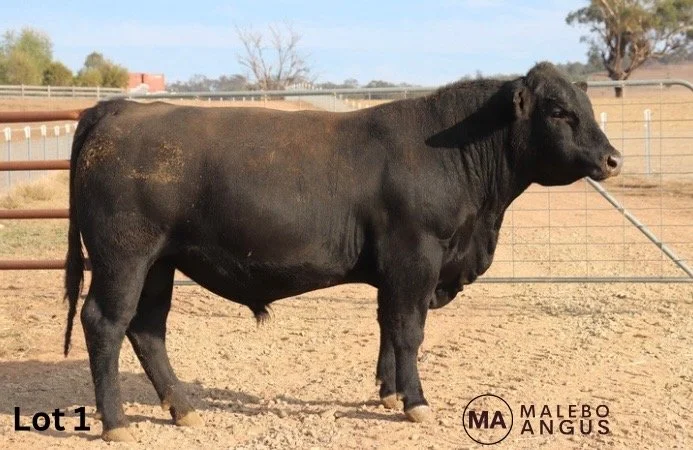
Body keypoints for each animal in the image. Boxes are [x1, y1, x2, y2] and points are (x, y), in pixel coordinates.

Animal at [63, 62, 621, 441]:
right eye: (560, 112)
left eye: (590, 110)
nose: (613, 158)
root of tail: (119, 109)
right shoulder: (415, 256)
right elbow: (409, 330)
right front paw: (416, 402)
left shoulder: (395, 269)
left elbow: (387, 325)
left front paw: (389, 392)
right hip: (123, 257)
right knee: (106, 323)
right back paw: (116, 423)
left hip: (160, 263)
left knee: (147, 329)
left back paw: (183, 408)